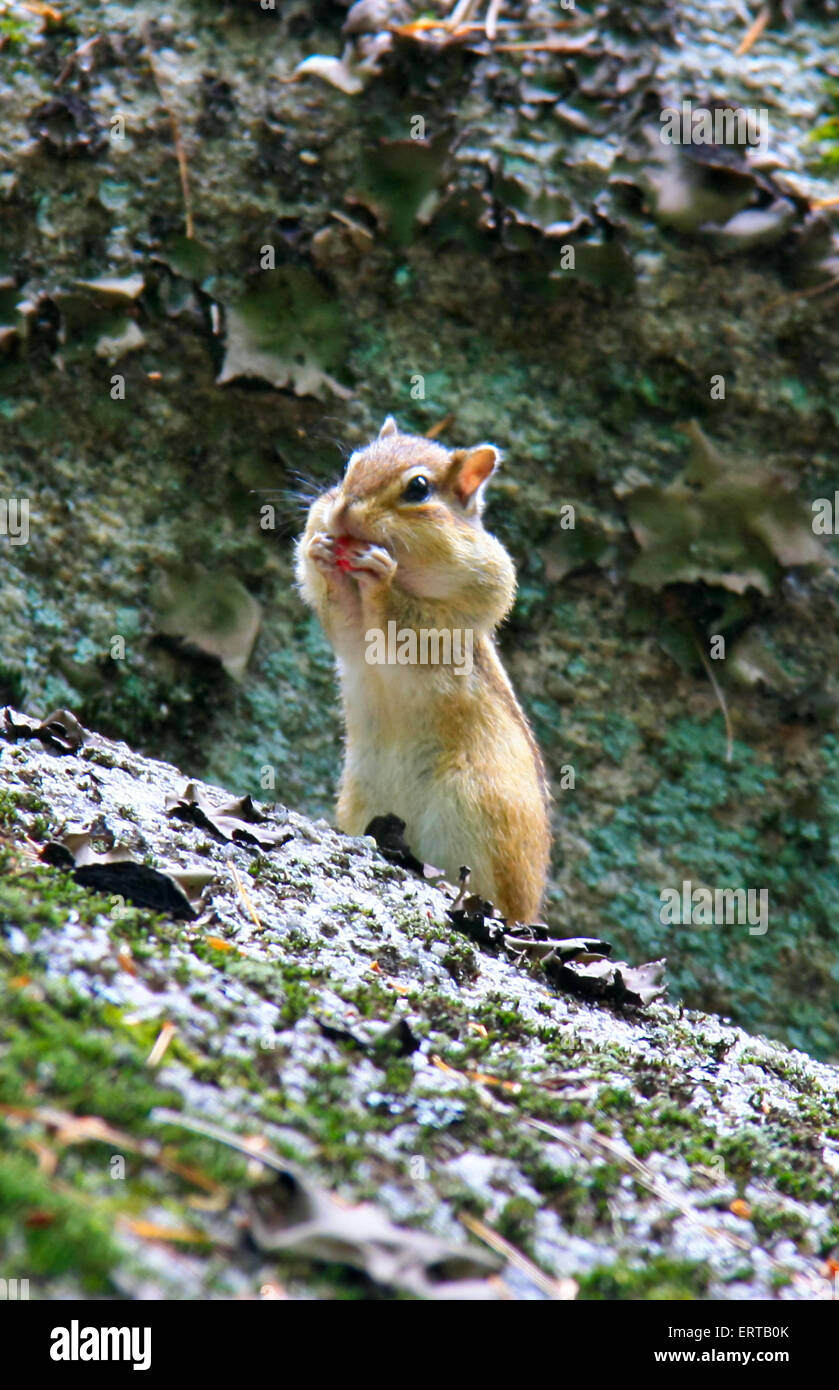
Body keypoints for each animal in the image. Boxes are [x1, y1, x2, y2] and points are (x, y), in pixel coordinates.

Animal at [295, 416, 551, 923]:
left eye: (418, 488)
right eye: (350, 465)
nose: (342, 513)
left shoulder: (451, 618)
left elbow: (402, 617)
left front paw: (381, 576)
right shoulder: (351, 638)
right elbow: (345, 621)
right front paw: (323, 551)